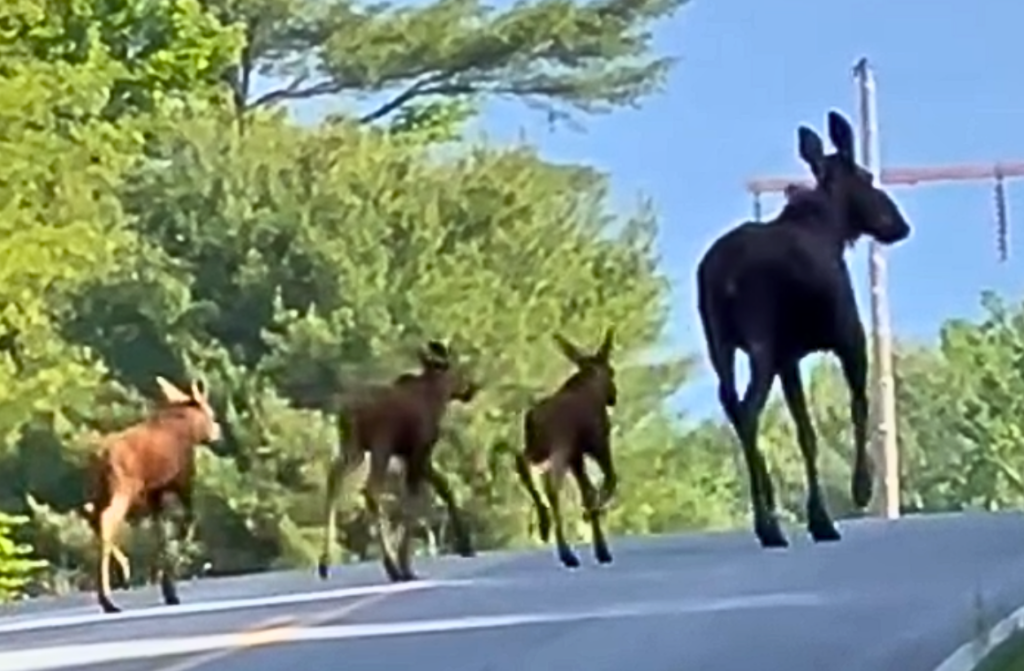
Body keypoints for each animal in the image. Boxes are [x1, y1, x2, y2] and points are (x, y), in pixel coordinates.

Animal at [83, 375, 221, 613]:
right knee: (106, 520)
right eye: (211, 414)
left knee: (93, 517)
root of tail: (102, 458)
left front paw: (166, 585)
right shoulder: (182, 480)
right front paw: (171, 584)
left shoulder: (153, 492)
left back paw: (123, 572)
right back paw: (108, 599)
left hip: (101, 490)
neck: (191, 430)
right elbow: (187, 522)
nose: (217, 431)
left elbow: (160, 531)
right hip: (122, 489)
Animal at [317, 340, 479, 583]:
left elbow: (443, 489)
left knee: (334, 481)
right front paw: (405, 563)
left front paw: (466, 545)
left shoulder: (411, 456)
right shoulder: (419, 453)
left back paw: (325, 564)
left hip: (352, 448)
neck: (437, 397)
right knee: (371, 490)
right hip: (379, 445)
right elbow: (413, 502)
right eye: (458, 370)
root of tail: (347, 414)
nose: (471, 387)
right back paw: (392, 566)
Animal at [497, 329, 618, 569]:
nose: (613, 397)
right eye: (612, 371)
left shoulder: (576, 456)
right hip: (559, 446)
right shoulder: (597, 444)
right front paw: (592, 514)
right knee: (551, 484)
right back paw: (566, 554)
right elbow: (610, 479)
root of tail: (533, 418)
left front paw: (601, 548)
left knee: (522, 464)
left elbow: (588, 493)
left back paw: (544, 524)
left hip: (537, 448)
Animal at [695, 109, 912, 549]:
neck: (832, 229)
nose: (900, 225)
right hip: (760, 343)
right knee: (748, 410)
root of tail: (721, 275)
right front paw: (859, 492)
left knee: (733, 407)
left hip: (719, 345)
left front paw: (818, 518)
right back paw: (769, 526)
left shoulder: (788, 359)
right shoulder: (849, 340)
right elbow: (860, 408)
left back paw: (767, 514)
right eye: (868, 177)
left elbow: (806, 433)